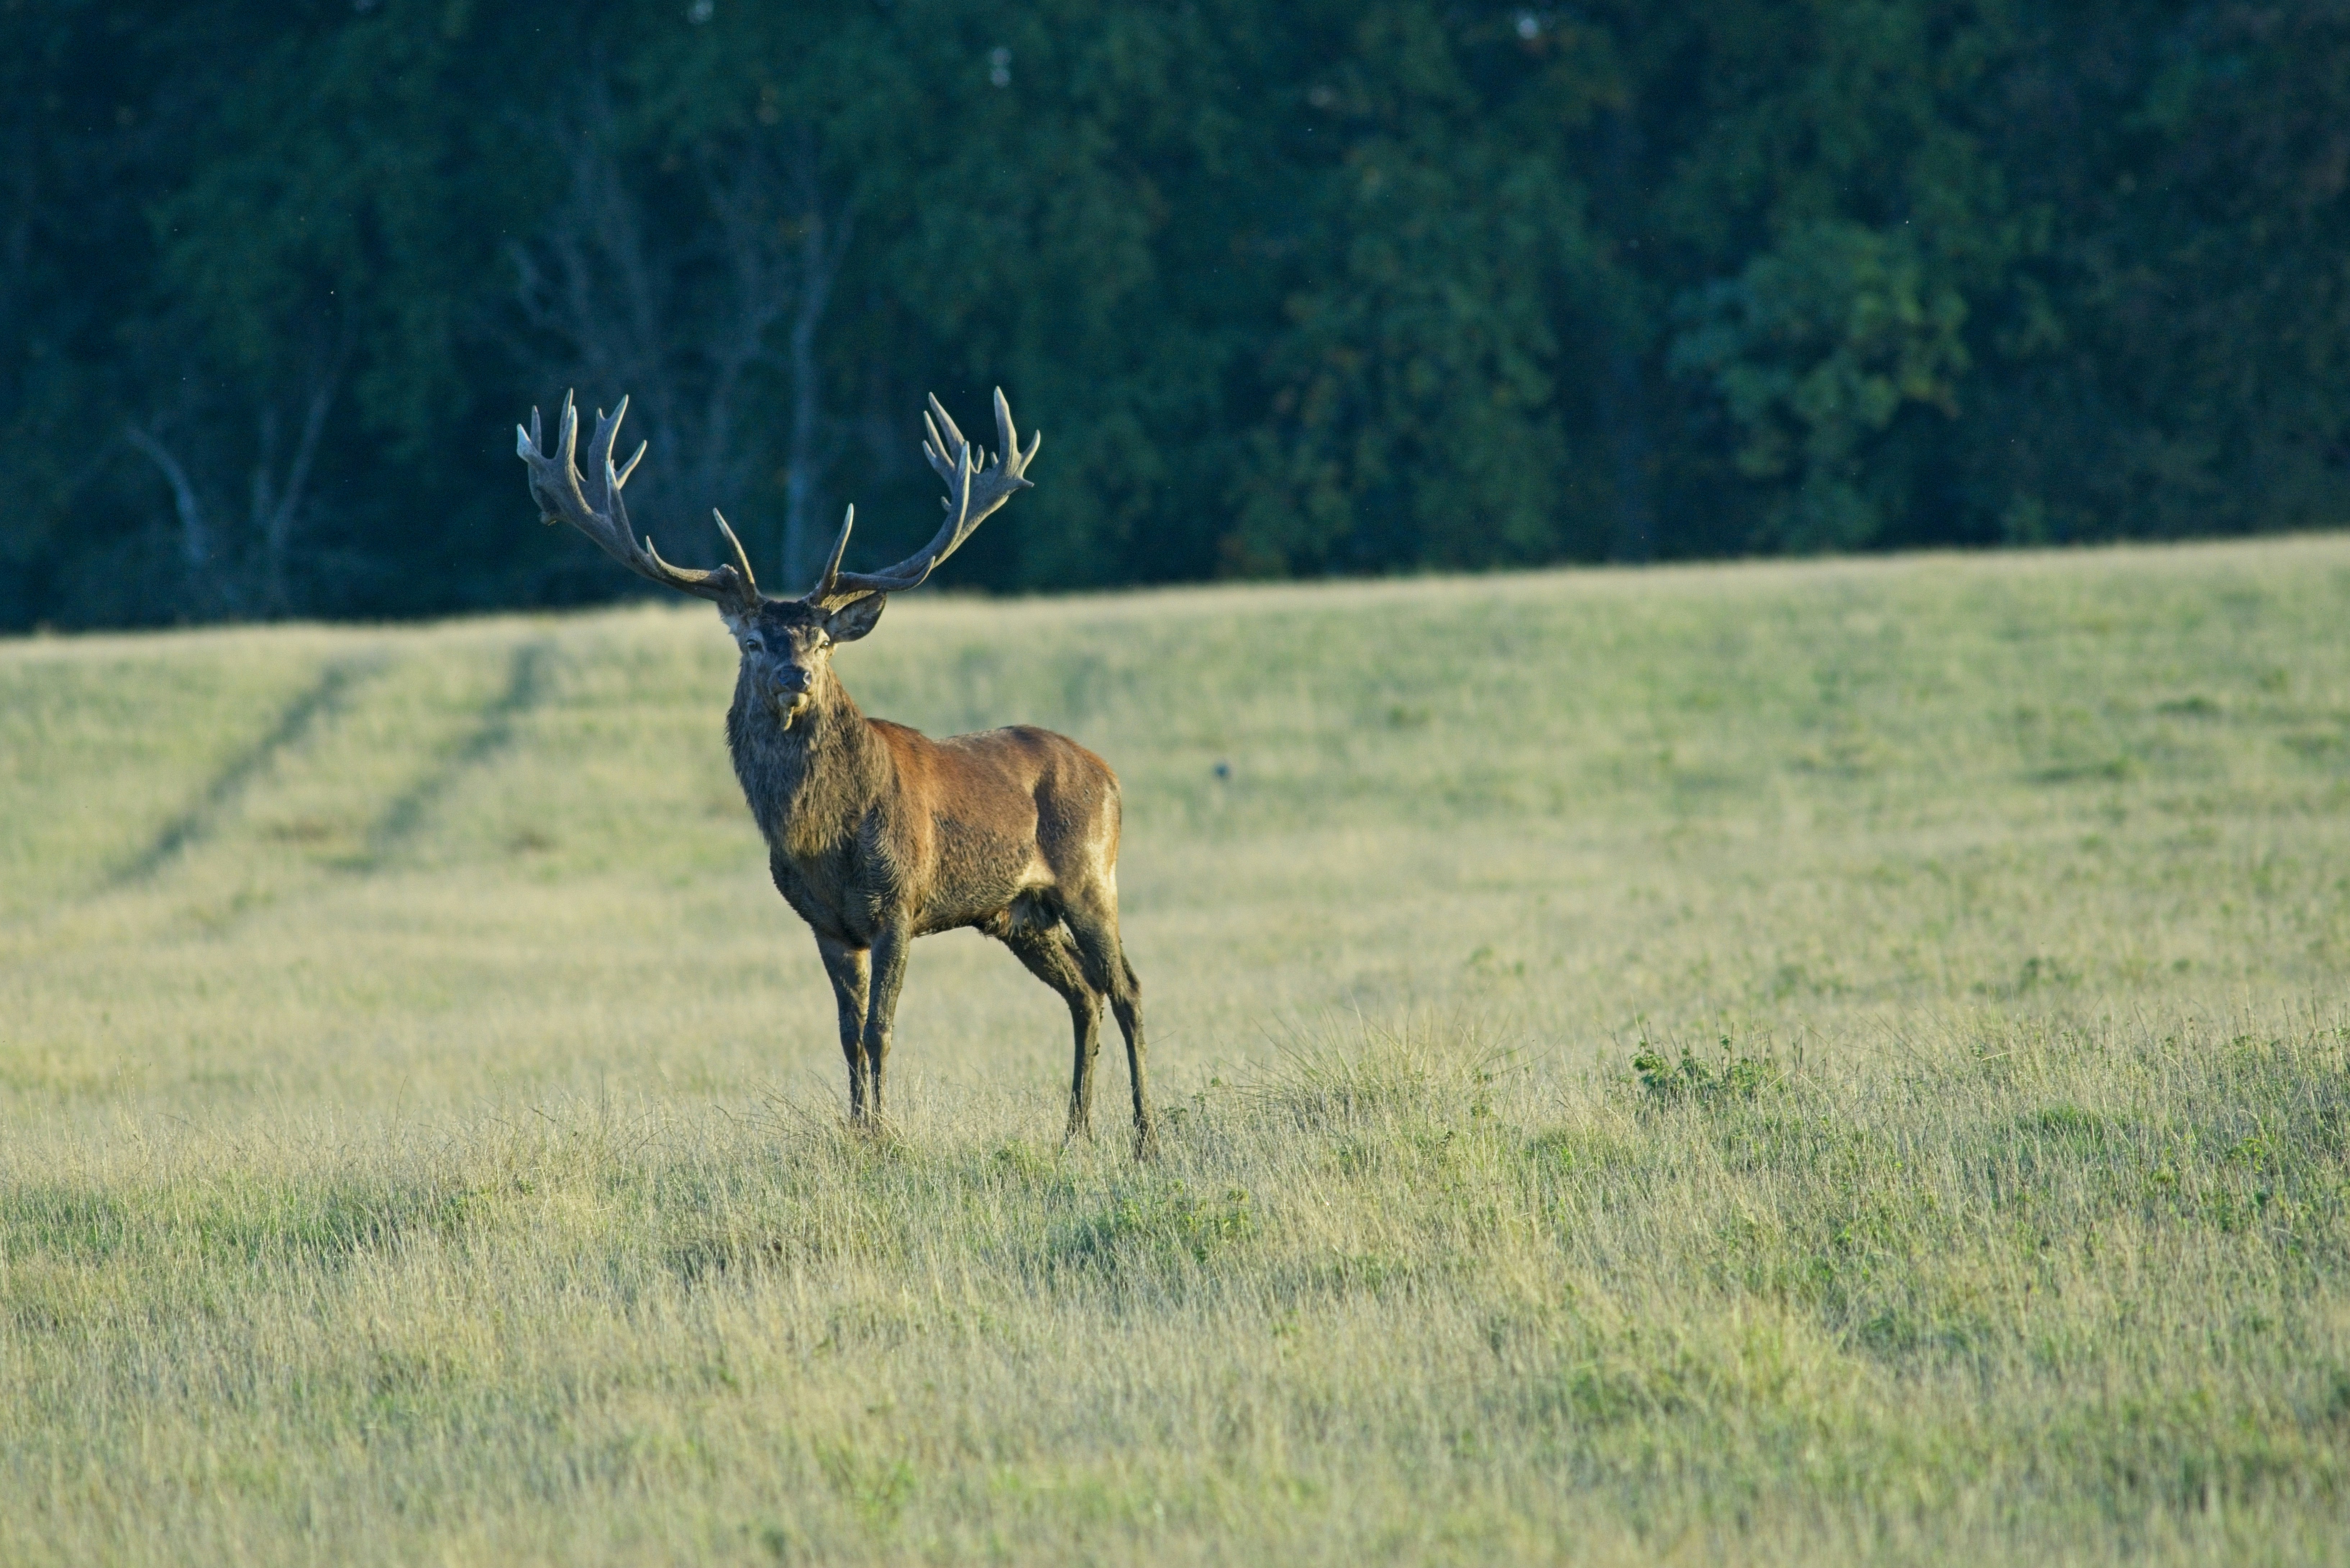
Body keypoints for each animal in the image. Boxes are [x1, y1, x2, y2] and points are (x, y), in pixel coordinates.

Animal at [516, 388, 1154, 1152]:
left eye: (822, 640)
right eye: (754, 640)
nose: (794, 675)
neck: (823, 839)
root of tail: (1108, 773)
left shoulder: (898, 903)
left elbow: (880, 1031)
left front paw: (884, 1139)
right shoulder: (825, 923)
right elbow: (848, 1037)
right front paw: (858, 1134)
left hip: (1089, 877)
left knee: (1127, 989)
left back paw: (1147, 1136)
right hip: (1015, 913)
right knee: (1083, 995)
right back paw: (1073, 1133)